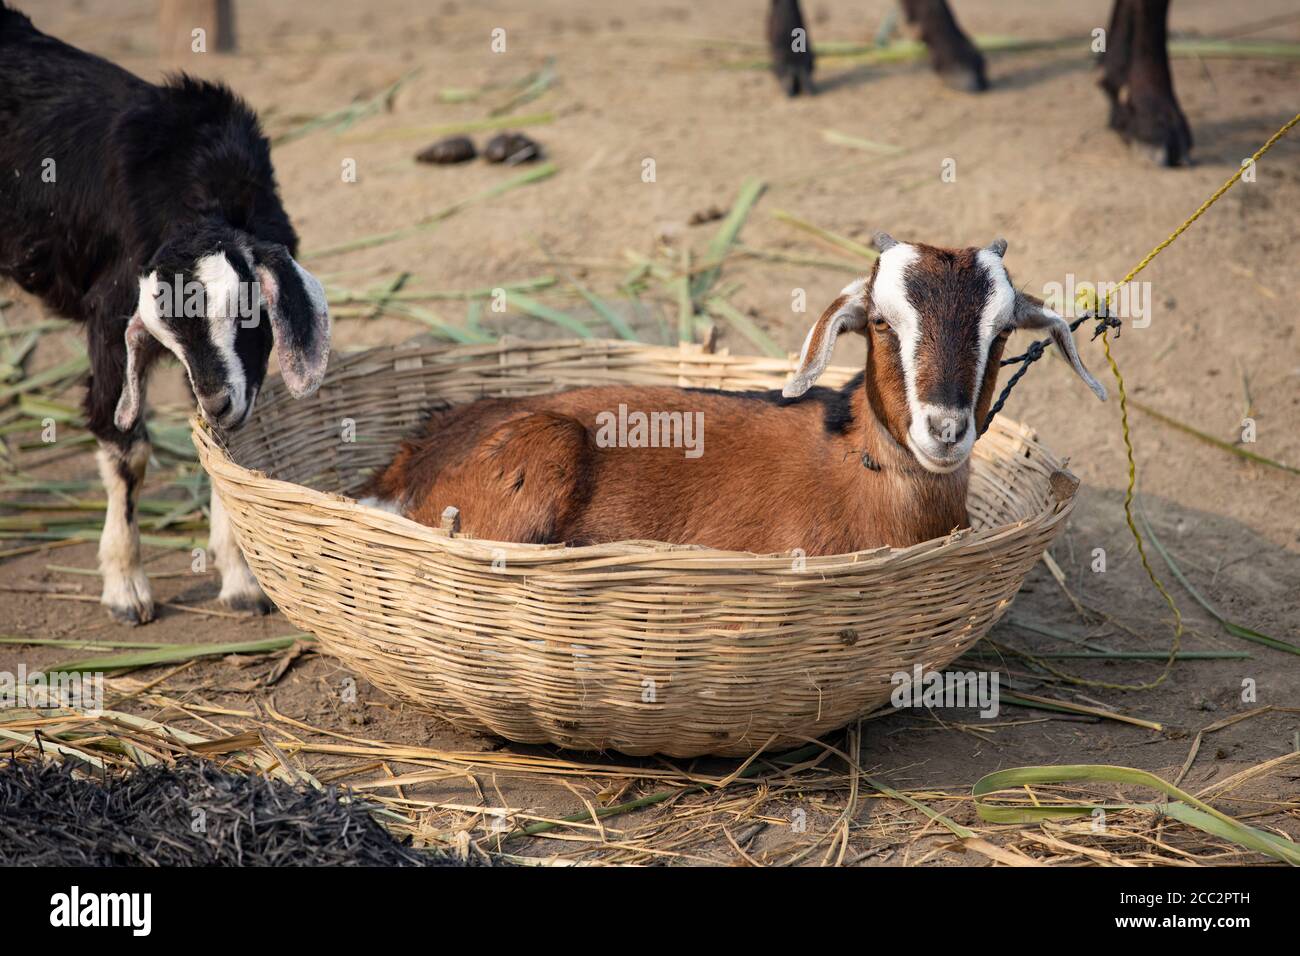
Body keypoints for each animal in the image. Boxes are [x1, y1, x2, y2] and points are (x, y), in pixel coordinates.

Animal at [0, 3, 330, 623]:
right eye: (162, 334)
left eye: (247, 308)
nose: (219, 402)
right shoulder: (110, 323)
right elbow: (126, 448)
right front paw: (126, 588)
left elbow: (221, 458)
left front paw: (242, 582)